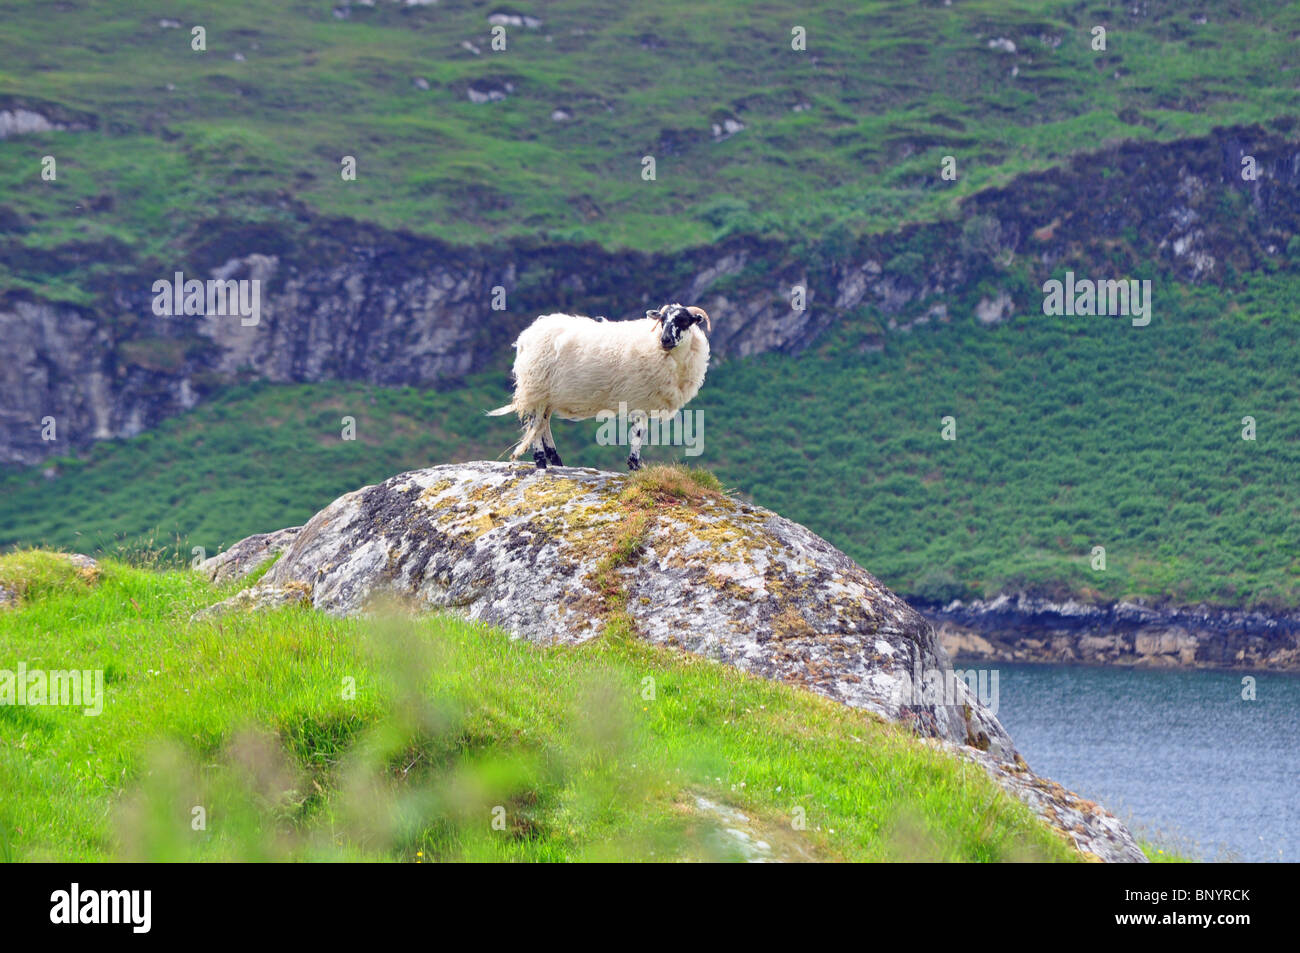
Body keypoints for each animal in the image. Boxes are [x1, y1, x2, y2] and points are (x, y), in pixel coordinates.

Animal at [488, 303, 711, 470]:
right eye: (662, 320)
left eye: (683, 320)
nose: (665, 339)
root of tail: (526, 335)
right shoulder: (639, 399)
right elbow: (638, 434)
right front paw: (635, 466)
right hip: (537, 384)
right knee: (535, 423)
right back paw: (541, 462)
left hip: (550, 393)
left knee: (543, 423)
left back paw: (556, 461)